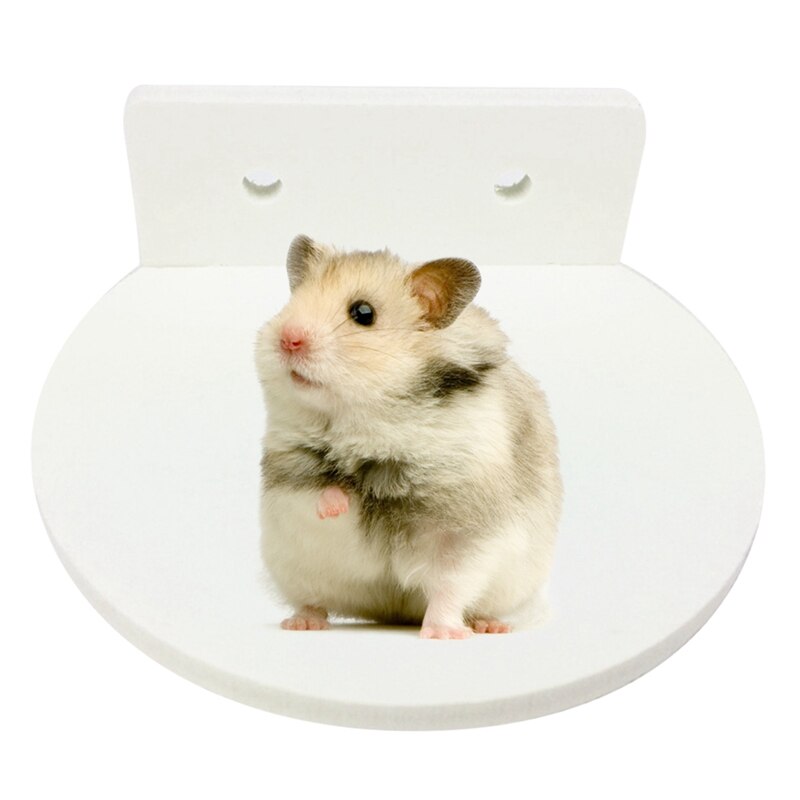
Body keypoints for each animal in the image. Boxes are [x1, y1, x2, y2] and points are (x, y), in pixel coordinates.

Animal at [255, 235, 562, 639]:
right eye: (292, 301)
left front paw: (443, 634)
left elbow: (450, 587)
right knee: (311, 598)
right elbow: (317, 492)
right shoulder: (288, 473)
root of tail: (390, 613)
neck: (371, 419)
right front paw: (341, 501)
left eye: (363, 313)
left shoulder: (464, 531)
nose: (288, 339)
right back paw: (302, 623)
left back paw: (489, 626)